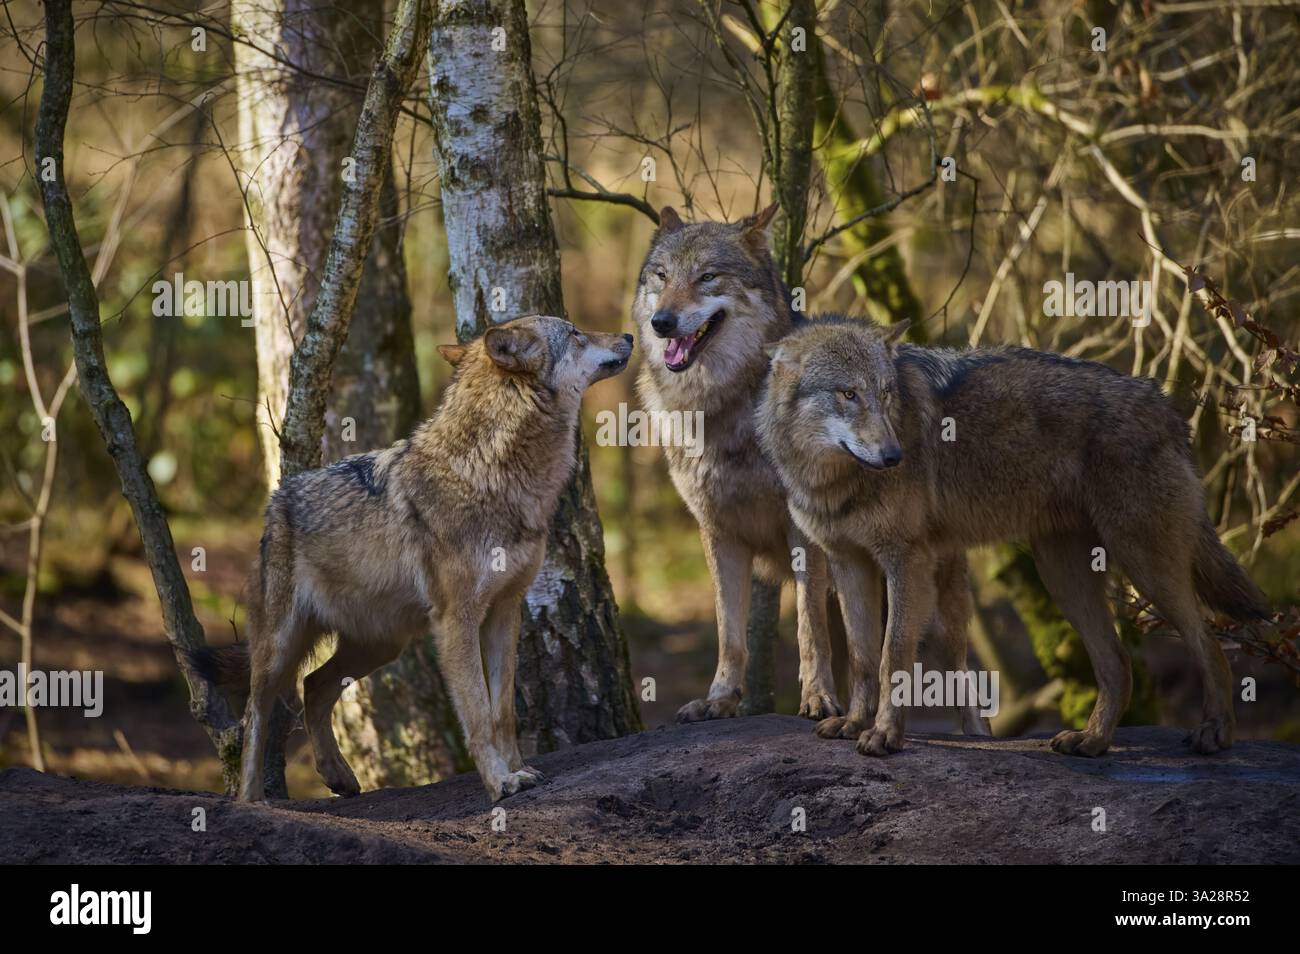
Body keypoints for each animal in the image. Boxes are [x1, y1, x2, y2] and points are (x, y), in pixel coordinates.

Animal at [195, 315, 632, 802]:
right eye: (575, 333)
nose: (631, 335)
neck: (490, 472)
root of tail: (276, 498)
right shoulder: (456, 619)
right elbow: (478, 713)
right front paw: (500, 782)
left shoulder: (505, 610)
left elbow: (503, 712)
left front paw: (520, 770)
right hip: (281, 648)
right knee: (256, 714)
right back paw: (251, 799)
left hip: (382, 644)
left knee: (314, 686)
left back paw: (338, 776)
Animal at [634, 207, 986, 735]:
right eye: (661, 276)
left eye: (707, 277)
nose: (662, 323)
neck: (723, 407)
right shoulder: (718, 532)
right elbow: (729, 631)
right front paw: (720, 699)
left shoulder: (803, 534)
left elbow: (806, 624)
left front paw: (817, 699)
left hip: (937, 606)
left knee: (963, 679)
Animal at [757, 316, 1269, 758]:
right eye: (848, 394)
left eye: (885, 396)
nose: (893, 456)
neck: (832, 480)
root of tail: (1164, 403)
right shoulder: (849, 562)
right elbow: (863, 657)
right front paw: (854, 724)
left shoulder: (907, 561)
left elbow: (892, 655)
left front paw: (884, 735)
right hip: (1064, 577)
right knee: (1119, 662)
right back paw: (1094, 740)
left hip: (1143, 563)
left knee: (1206, 641)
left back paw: (1215, 731)